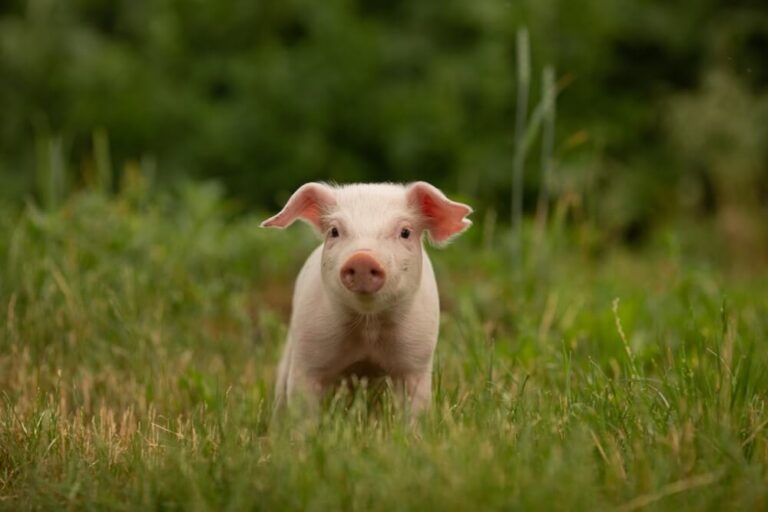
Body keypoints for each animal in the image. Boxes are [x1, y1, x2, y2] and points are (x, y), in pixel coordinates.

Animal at [261, 182, 472, 414]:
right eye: (334, 231)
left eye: (405, 232)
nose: (362, 258)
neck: (369, 327)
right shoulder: (308, 355)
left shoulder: (417, 361)